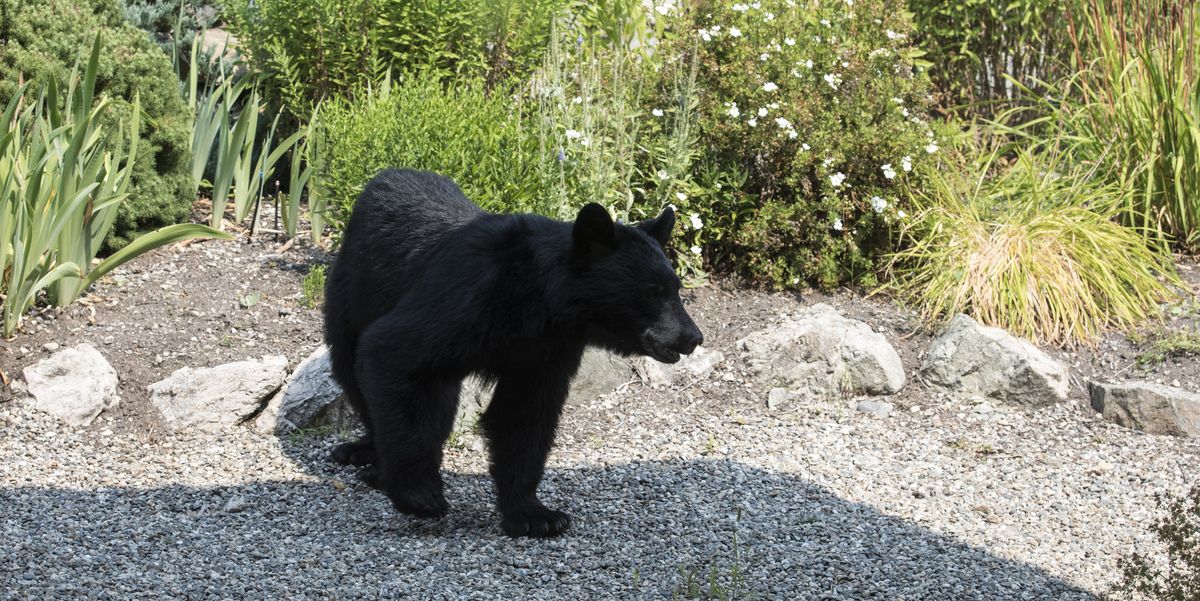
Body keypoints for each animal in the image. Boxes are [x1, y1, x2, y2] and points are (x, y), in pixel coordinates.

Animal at [323, 168, 703, 537]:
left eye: (676, 287)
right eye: (652, 290)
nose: (692, 337)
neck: (537, 301)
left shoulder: (546, 349)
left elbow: (524, 414)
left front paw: (536, 515)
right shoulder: (464, 301)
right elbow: (391, 352)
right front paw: (420, 495)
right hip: (351, 292)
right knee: (357, 370)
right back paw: (368, 456)